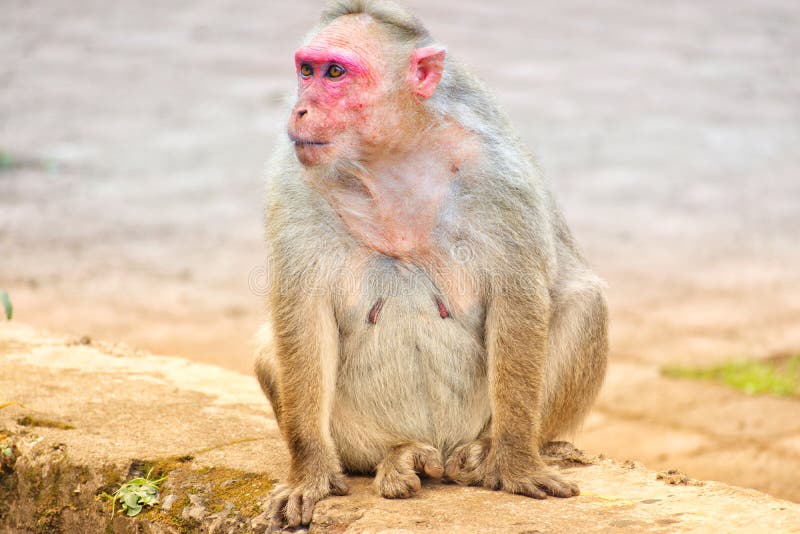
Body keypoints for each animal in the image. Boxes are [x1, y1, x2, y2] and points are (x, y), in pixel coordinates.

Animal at [255, 0, 608, 529]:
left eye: (335, 73)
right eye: (306, 71)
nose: (300, 108)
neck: (391, 158)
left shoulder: (498, 175)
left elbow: (517, 296)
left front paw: (516, 462)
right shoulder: (294, 181)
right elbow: (303, 317)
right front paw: (310, 473)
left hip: (475, 420)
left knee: (587, 304)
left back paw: (487, 451)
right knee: (270, 351)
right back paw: (397, 456)